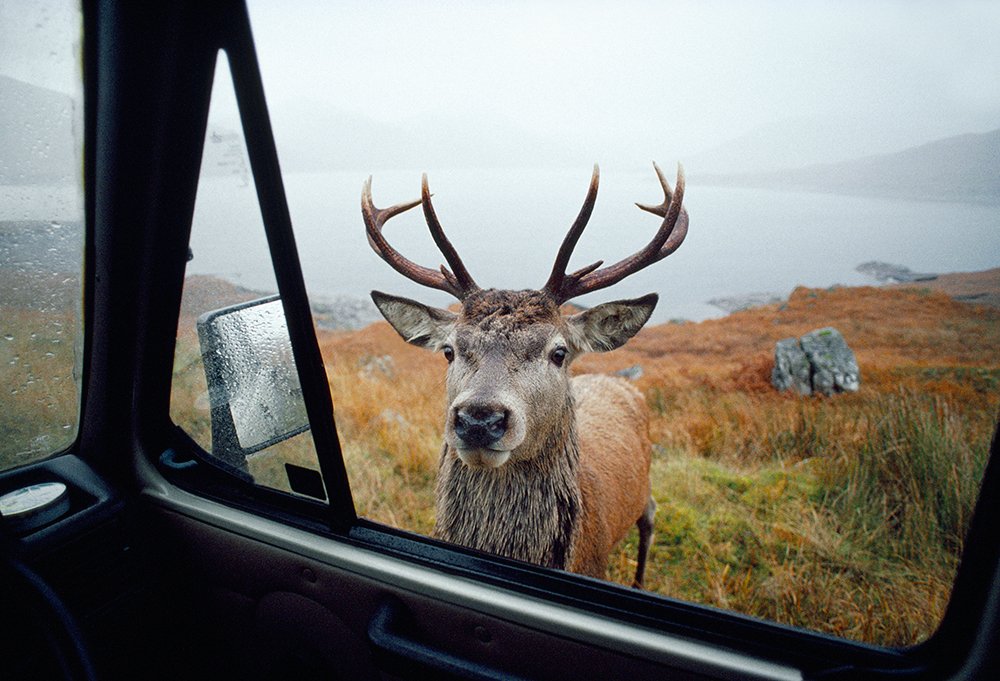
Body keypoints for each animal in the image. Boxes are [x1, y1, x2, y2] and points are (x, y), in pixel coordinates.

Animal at [362, 163, 688, 587]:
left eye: (559, 352)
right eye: (449, 350)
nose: (479, 419)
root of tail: (622, 382)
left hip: (647, 478)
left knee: (650, 515)